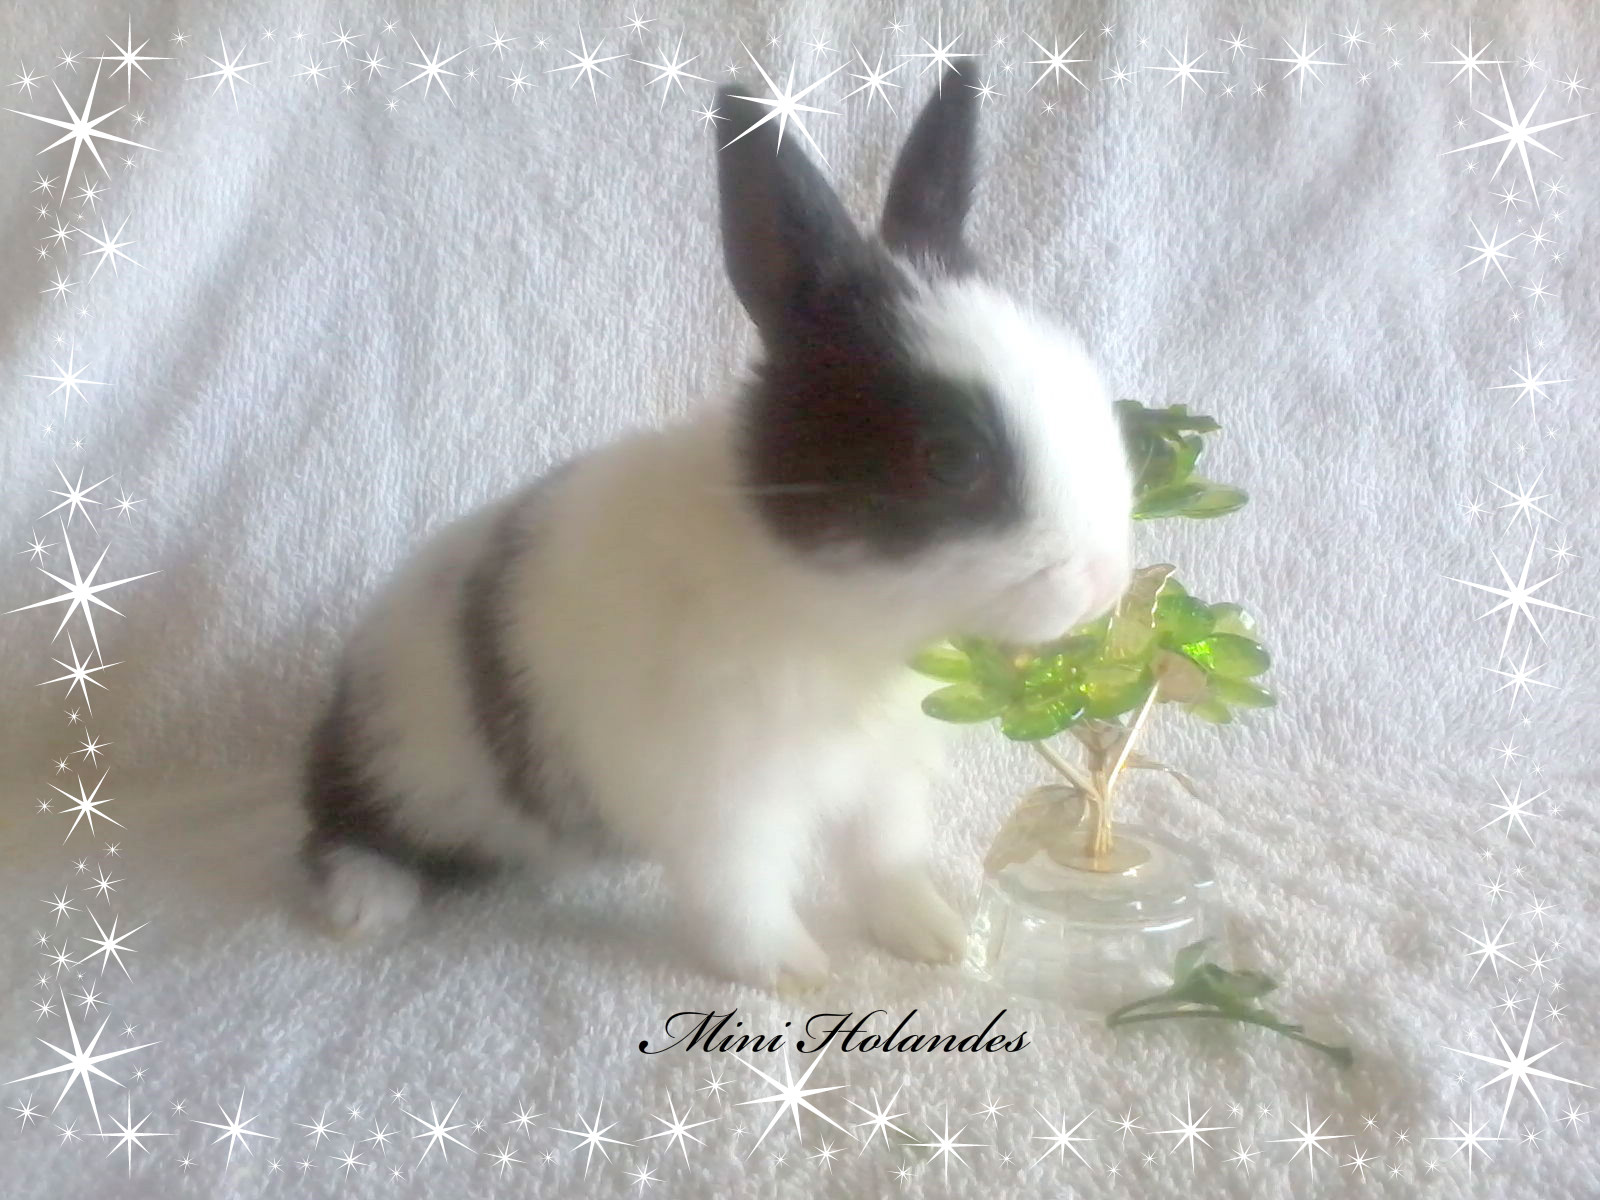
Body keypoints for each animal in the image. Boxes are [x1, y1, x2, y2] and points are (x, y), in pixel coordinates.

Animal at [299, 59, 1135, 992]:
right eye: (952, 458)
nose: (1104, 580)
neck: (832, 612)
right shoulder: (724, 802)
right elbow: (740, 898)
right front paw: (794, 974)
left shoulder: (884, 785)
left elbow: (884, 865)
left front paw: (934, 937)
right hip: (405, 757)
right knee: (340, 819)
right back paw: (362, 906)